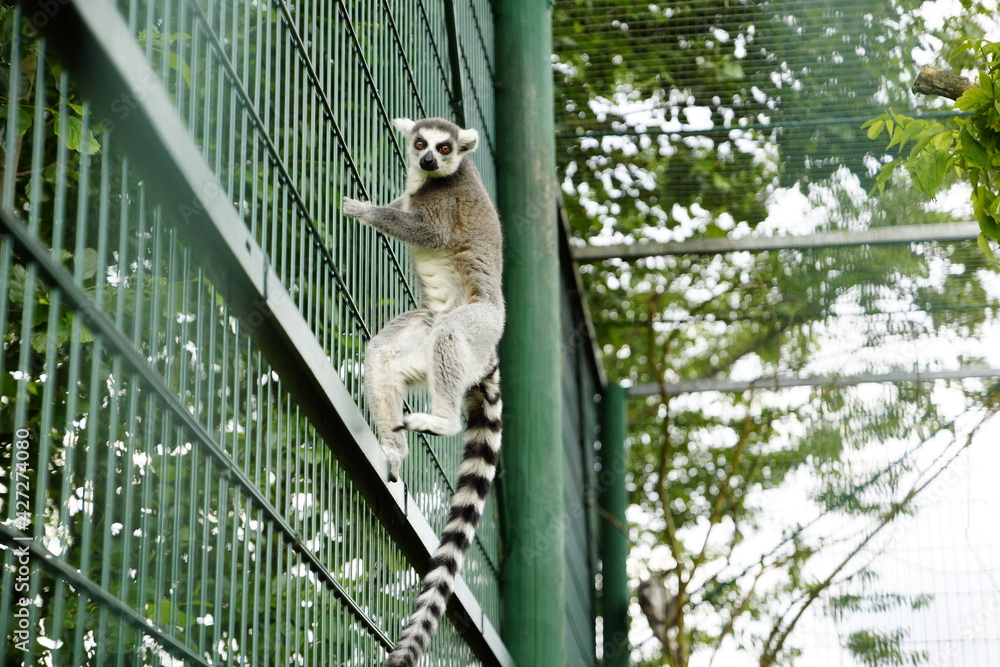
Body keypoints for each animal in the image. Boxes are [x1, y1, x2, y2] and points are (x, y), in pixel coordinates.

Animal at [342, 117, 504, 667]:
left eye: (446, 147)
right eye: (420, 144)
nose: (430, 160)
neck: (427, 182)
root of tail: (489, 352)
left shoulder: (443, 199)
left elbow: (427, 229)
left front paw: (362, 210)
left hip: (475, 327)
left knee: (452, 336)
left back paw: (443, 421)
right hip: (424, 335)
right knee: (383, 357)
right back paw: (393, 449)